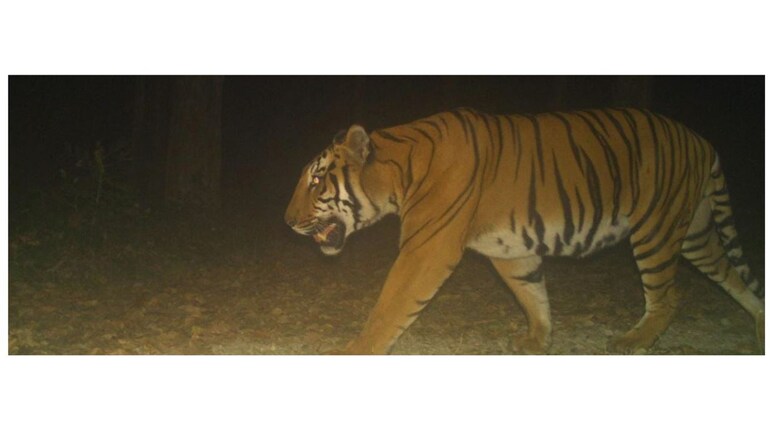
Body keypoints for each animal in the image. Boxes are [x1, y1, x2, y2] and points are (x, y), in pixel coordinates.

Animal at [284, 107, 764, 354]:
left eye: (316, 180)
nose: (287, 221)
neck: (399, 173)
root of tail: (701, 140)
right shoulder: (512, 250)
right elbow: (533, 295)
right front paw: (538, 340)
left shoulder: (427, 248)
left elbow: (390, 305)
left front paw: (356, 350)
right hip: (695, 232)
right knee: (734, 277)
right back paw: (759, 325)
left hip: (656, 230)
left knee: (669, 295)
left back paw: (633, 340)